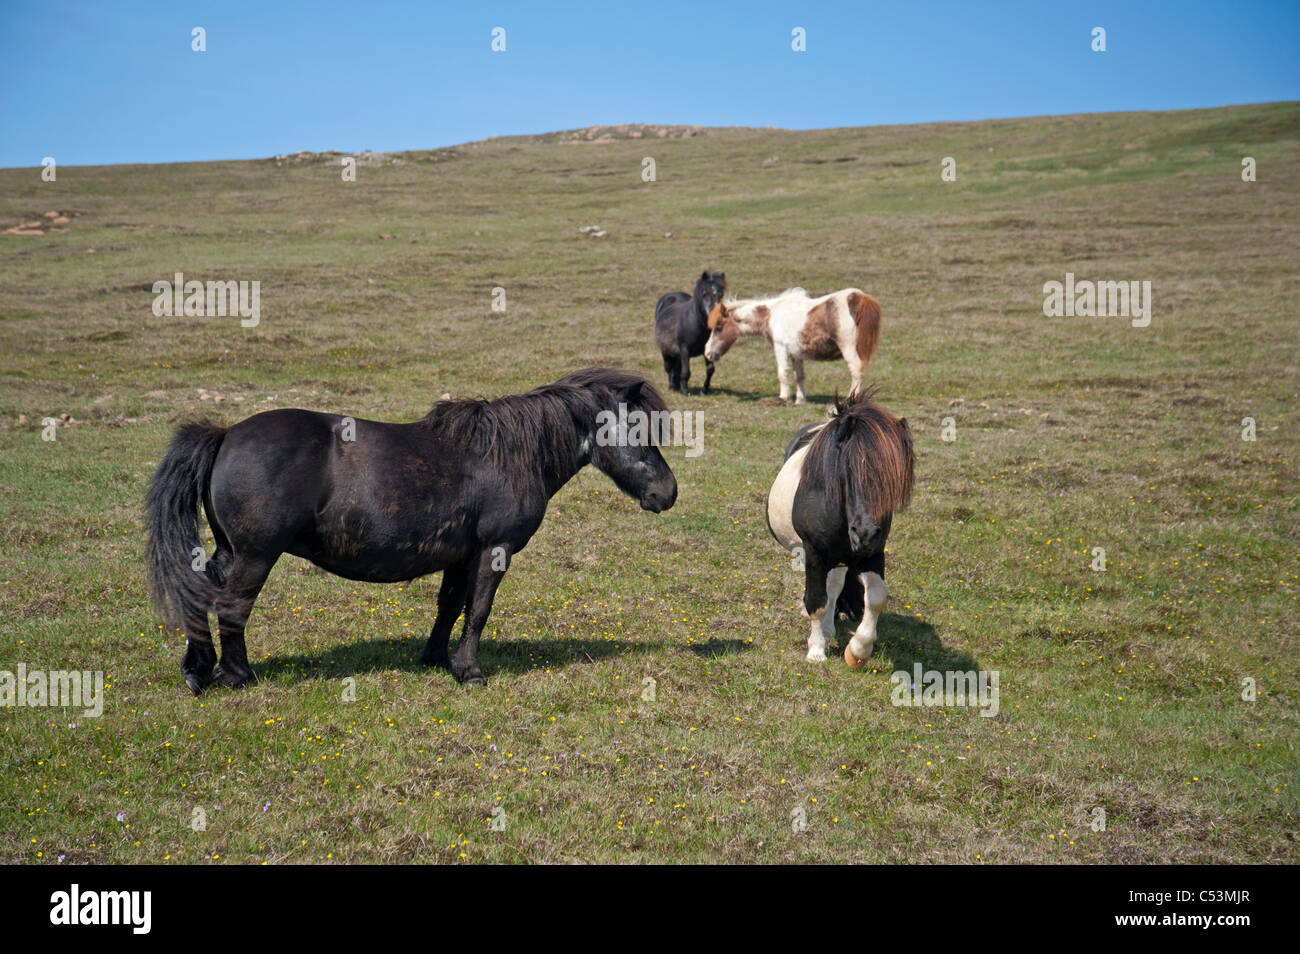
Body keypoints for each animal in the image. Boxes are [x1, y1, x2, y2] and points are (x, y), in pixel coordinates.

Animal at [145, 368, 678, 692]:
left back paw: (198, 670)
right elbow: (479, 610)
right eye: (639, 430)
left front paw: (438, 659)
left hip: (229, 550)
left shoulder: (462, 555)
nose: (668, 492)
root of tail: (225, 434)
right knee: (232, 605)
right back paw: (238, 674)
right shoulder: (495, 549)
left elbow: (450, 607)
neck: (508, 454)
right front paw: (471, 672)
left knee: (202, 591)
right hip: (255, 555)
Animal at [704, 287, 880, 404]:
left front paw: (783, 398)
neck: (771, 315)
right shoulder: (796, 354)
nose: (707, 353)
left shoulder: (780, 348)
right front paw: (800, 400)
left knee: (856, 369)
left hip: (848, 348)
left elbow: (783, 373)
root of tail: (858, 297)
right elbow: (799, 376)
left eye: (718, 328)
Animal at [765, 391, 914, 667]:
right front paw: (816, 651)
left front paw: (857, 651)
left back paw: (828, 628)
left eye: (891, 480)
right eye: (849, 470)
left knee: (834, 585)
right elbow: (816, 602)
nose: (865, 534)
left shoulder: (873, 553)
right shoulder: (814, 553)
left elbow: (876, 597)